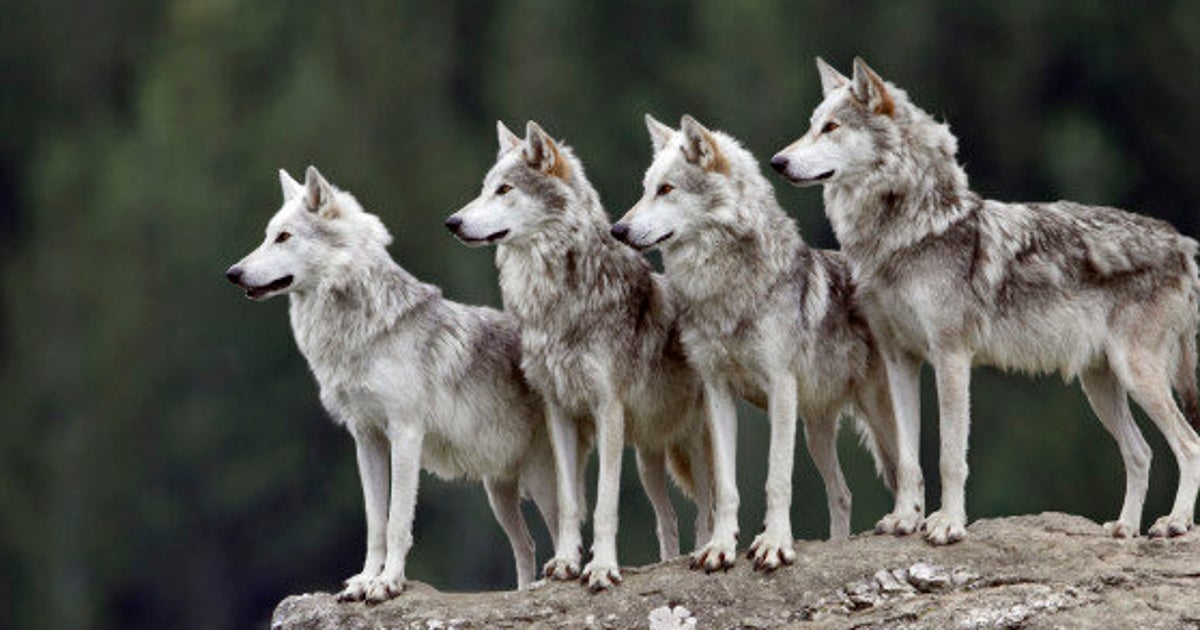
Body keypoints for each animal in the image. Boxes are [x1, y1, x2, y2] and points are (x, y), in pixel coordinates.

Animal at [225, 166, 559, 603]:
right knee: (527, 547)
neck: (360, 333)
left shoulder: (405, 434)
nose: (232, 273)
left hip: (541, 482)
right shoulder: (366, 439)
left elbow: (398, 521)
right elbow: (375, 524)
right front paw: (365, 580)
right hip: (498, 491)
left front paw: (388, 583)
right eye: (267, 235)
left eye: (283, 237)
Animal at [445, 121, 714, 590]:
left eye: (504, 189)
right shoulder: (560, 411)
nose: (453, 222)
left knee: (708, 508)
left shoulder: (608, 410)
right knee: (669, 519)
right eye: (484, 188)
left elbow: (605, 505)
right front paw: (566, 562)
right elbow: (570, 503)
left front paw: (602, 568)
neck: (557, 303)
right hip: (648, 459)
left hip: (692, 443)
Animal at [610, 114, 917, 572]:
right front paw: (719, 548)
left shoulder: (780, 389)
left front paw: (774, 545)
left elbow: (776, 480)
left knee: (907, 472)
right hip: (816, 431)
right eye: (645, 188)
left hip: (875, 415)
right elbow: (726, 486)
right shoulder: (717, 393)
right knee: (843, 493)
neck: (724, 291)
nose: (618, 229)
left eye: (666, 189)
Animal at [772, 57, 1200, 543]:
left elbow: (949, 457)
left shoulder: (951, 357)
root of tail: (1182, 244)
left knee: (1189, 443)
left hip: (1136, 375)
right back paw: (1125, 528)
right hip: (1101, 385)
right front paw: (905, 519)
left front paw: (947, 525)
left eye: (831, 127)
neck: (907, 234)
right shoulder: (900, 361)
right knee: (1142, 452)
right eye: (811, 126)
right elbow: (908, 459)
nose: (777, 162)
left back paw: (1175, 522)